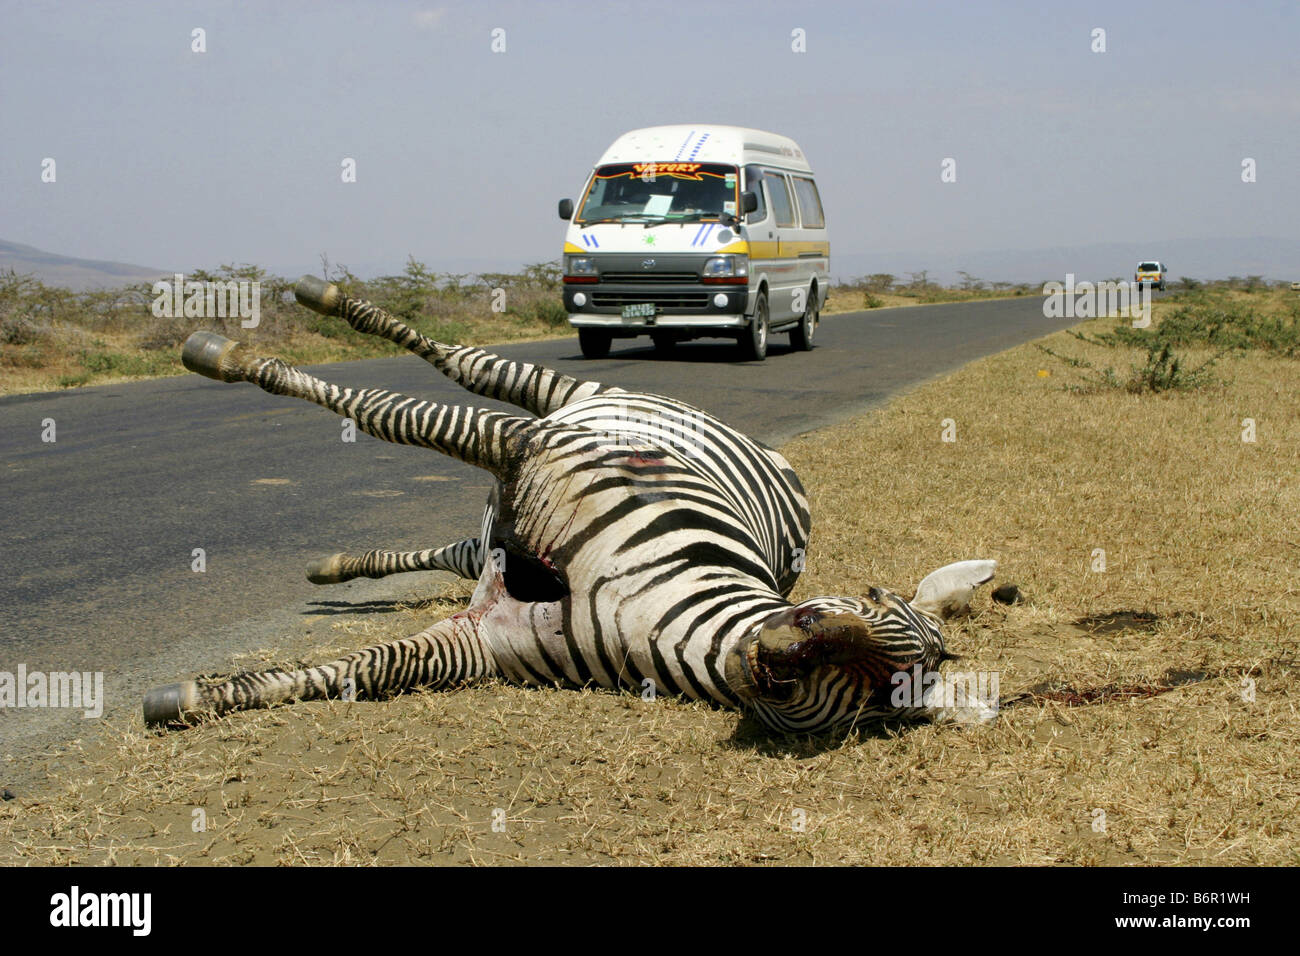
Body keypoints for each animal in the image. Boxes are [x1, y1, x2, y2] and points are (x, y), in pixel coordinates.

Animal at [143, 276, 1000, 734]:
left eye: (885, 693)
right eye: (868, 601)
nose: (795, 639)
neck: (658, 614)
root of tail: (779, 462)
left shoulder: (480, 641)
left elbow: (365, 669)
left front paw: (182, 699)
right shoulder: (523, 453)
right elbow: (389, 413)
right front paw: (230, 354)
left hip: (497, 528)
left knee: (453, 545)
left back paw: (332, 566)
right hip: (565, 401)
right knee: (454, 363)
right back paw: (267, 324)